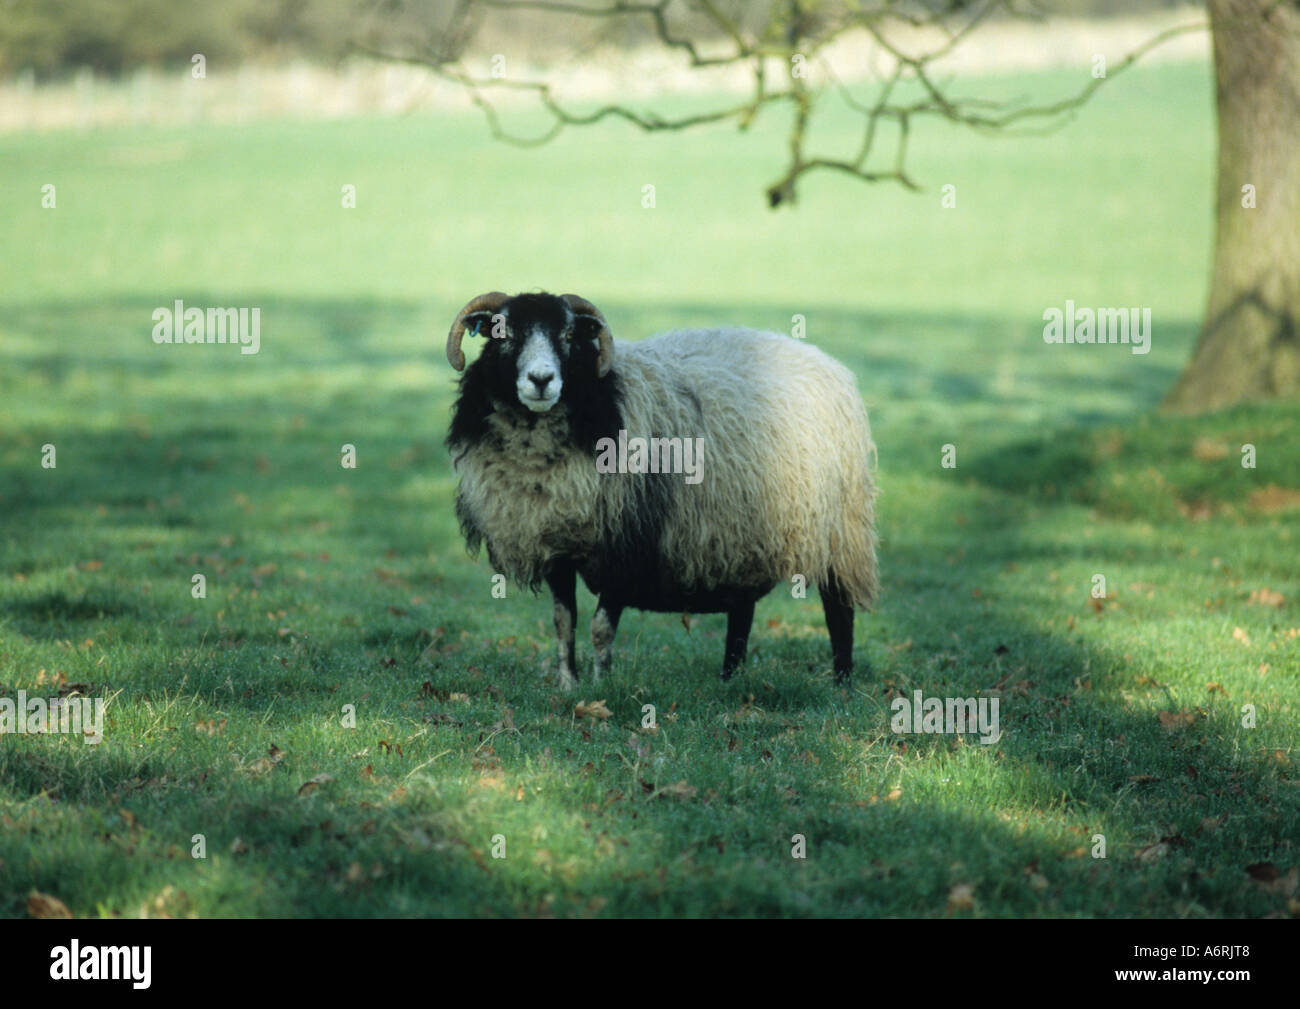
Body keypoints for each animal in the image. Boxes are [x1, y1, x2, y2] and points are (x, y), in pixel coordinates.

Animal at [444, 291, 878, 690]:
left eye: (569, 334)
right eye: (503, 333)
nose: (541, 380)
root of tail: (824, 360)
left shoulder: (626, 544)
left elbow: (601, 628)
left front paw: (603, 687)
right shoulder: (556, 546)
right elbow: (563, 622)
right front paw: (568, 687)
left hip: (841, 531)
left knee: (839, 611)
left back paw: (841, 683)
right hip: (741, 531)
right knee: (742, 613)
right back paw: (729, 680)